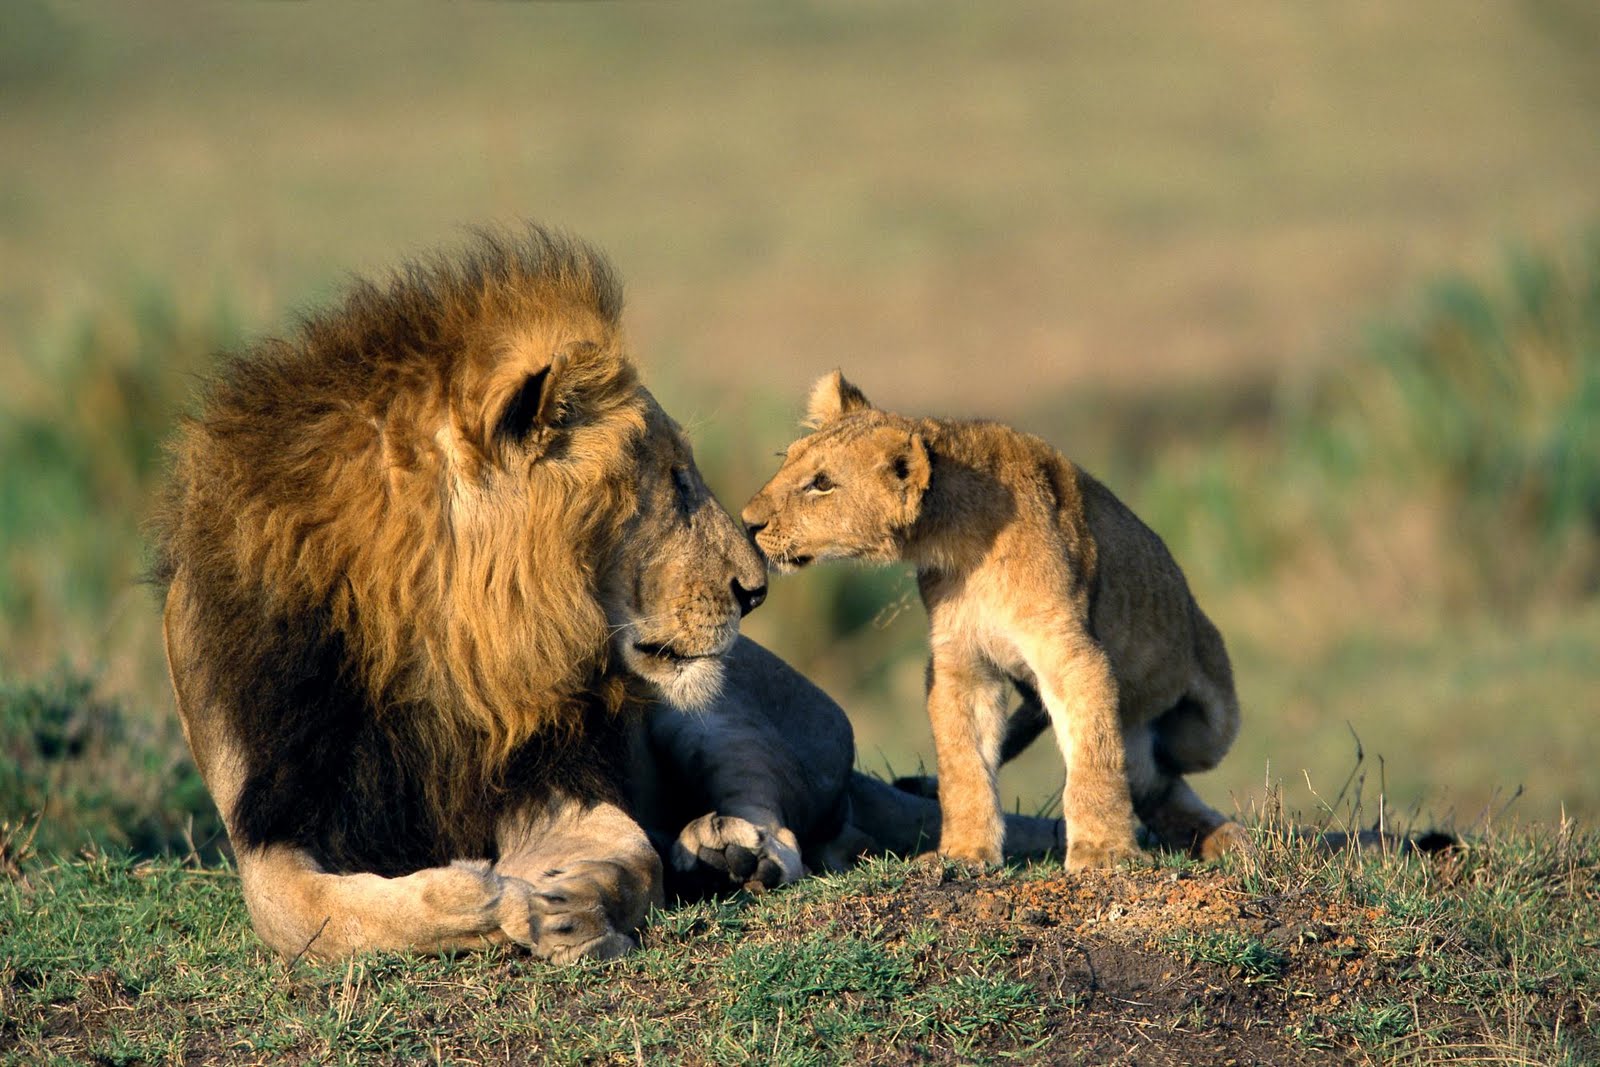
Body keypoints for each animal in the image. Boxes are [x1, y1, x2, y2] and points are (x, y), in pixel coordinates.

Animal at [152, 228, 1061, 963]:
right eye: (673, 480)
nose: (755, 589)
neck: (435, 648)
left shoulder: (562, 771)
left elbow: (621, 851)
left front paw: (563, 900)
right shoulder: (270, 816)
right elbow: (297, 912)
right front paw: (480, 893)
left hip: (713, 705)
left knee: (788, 824)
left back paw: (731, 853)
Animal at [741, 371, 1246, 872]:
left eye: (822, 484)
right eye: (787, 462)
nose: (747, 523)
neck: (960, 543)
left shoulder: (1072, 654)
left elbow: (1095, 756)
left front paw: (1102, 850)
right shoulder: (961, 663)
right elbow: (964, 764)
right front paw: (965, 851)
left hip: (1208, 728)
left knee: (1162, 769)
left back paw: (1227, 836)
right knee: (1152, 784)